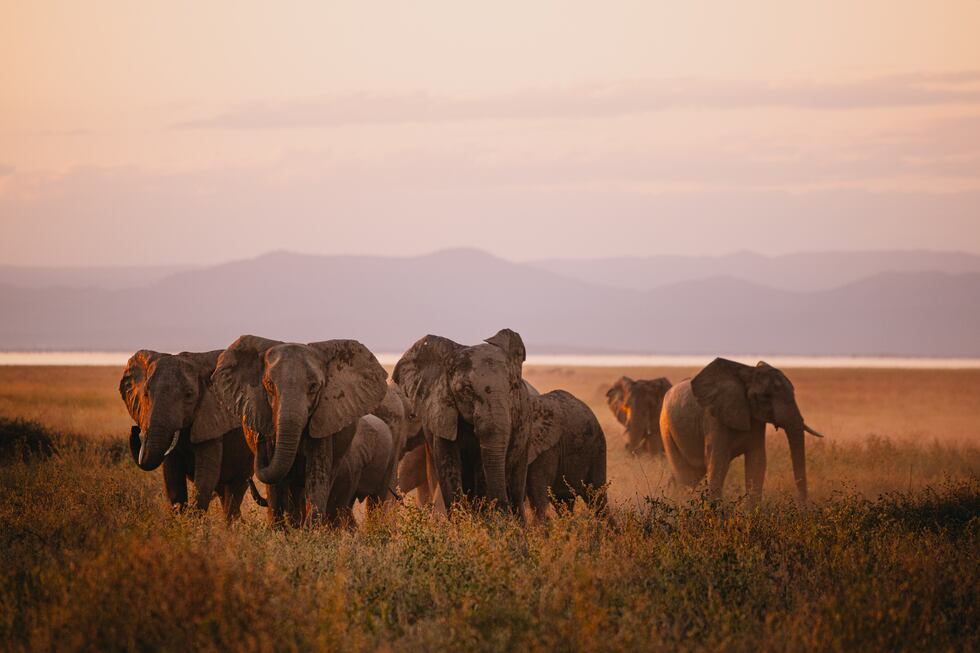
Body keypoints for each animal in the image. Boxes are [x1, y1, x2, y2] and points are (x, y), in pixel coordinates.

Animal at [119, 350, 265, 522]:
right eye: (146, 394)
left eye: (189, 394)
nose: (135, 429)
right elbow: (172, 476)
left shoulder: (213, 419)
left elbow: (205, 476)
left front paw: (193, 523)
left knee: (235, 491)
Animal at [211, 335, 388, 526]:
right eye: (269, 385)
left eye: (313, 386)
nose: (259, 438)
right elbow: (275, 480)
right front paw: (278, 529)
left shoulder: (324, 418)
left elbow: (317, 474)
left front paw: (311, 530)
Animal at [392, 329, 533, 518]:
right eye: (466, 390)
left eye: (512, 388)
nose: (501, 508)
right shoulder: (440, 409)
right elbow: (448, 463)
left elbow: (483, 468)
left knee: (517, 489)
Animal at [659, 358, 824, 506]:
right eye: (765, 397)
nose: (801, 504)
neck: (747, 372)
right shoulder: (714, 418)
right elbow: (717, 462)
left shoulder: (756, 420)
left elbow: (757, 460)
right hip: (666, 428)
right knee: (685, 475)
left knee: (691, 474)